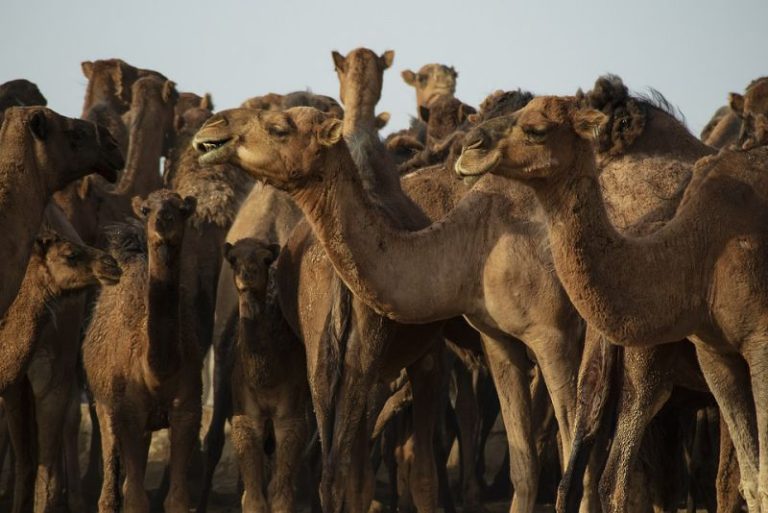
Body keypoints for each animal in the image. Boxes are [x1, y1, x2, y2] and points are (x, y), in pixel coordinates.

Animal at [83, 189, 200, 513]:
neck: (157, 371)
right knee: (111, 490)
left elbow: (178, 499)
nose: (163, 220)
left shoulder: (187, 412)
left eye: (181, 209)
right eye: (147, 209)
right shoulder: (129, 413)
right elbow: (135, 499)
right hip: (104, 405)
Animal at [224, 238, 311, 513]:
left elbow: (280, 494)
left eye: (265, 259)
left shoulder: (290, 416)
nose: (247, 275)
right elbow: (253, 497)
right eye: (233, 259)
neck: (267, 378)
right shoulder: (246, 415)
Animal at [456, 95, 768, 512]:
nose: (470, 147)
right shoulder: (723, 352)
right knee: (618, 476)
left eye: (537, 129)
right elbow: (744, 480)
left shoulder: (749, 346)